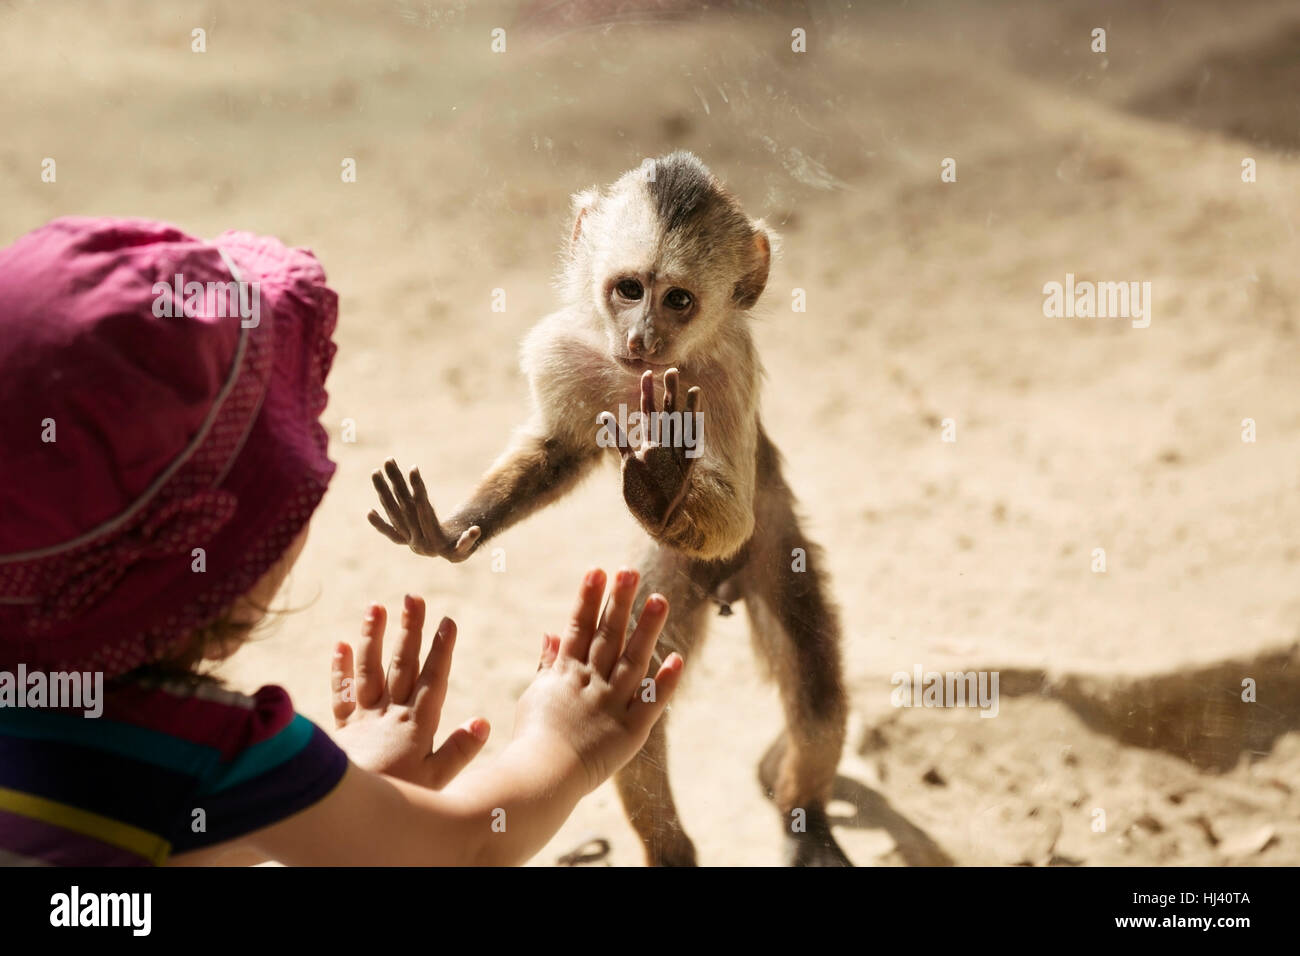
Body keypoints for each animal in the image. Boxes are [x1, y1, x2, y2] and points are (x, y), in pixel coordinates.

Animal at [369, 151, 851, 867]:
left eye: (677, 300)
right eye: (629, 289)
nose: (644, 335)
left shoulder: (729, 371)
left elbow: (733, 509)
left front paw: (661, 479)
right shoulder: (563, 350)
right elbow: (558, 450)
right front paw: (449, 530)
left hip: (772, 543)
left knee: (816, 690)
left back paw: (806, 820)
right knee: (638, 687)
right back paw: (672, 849)